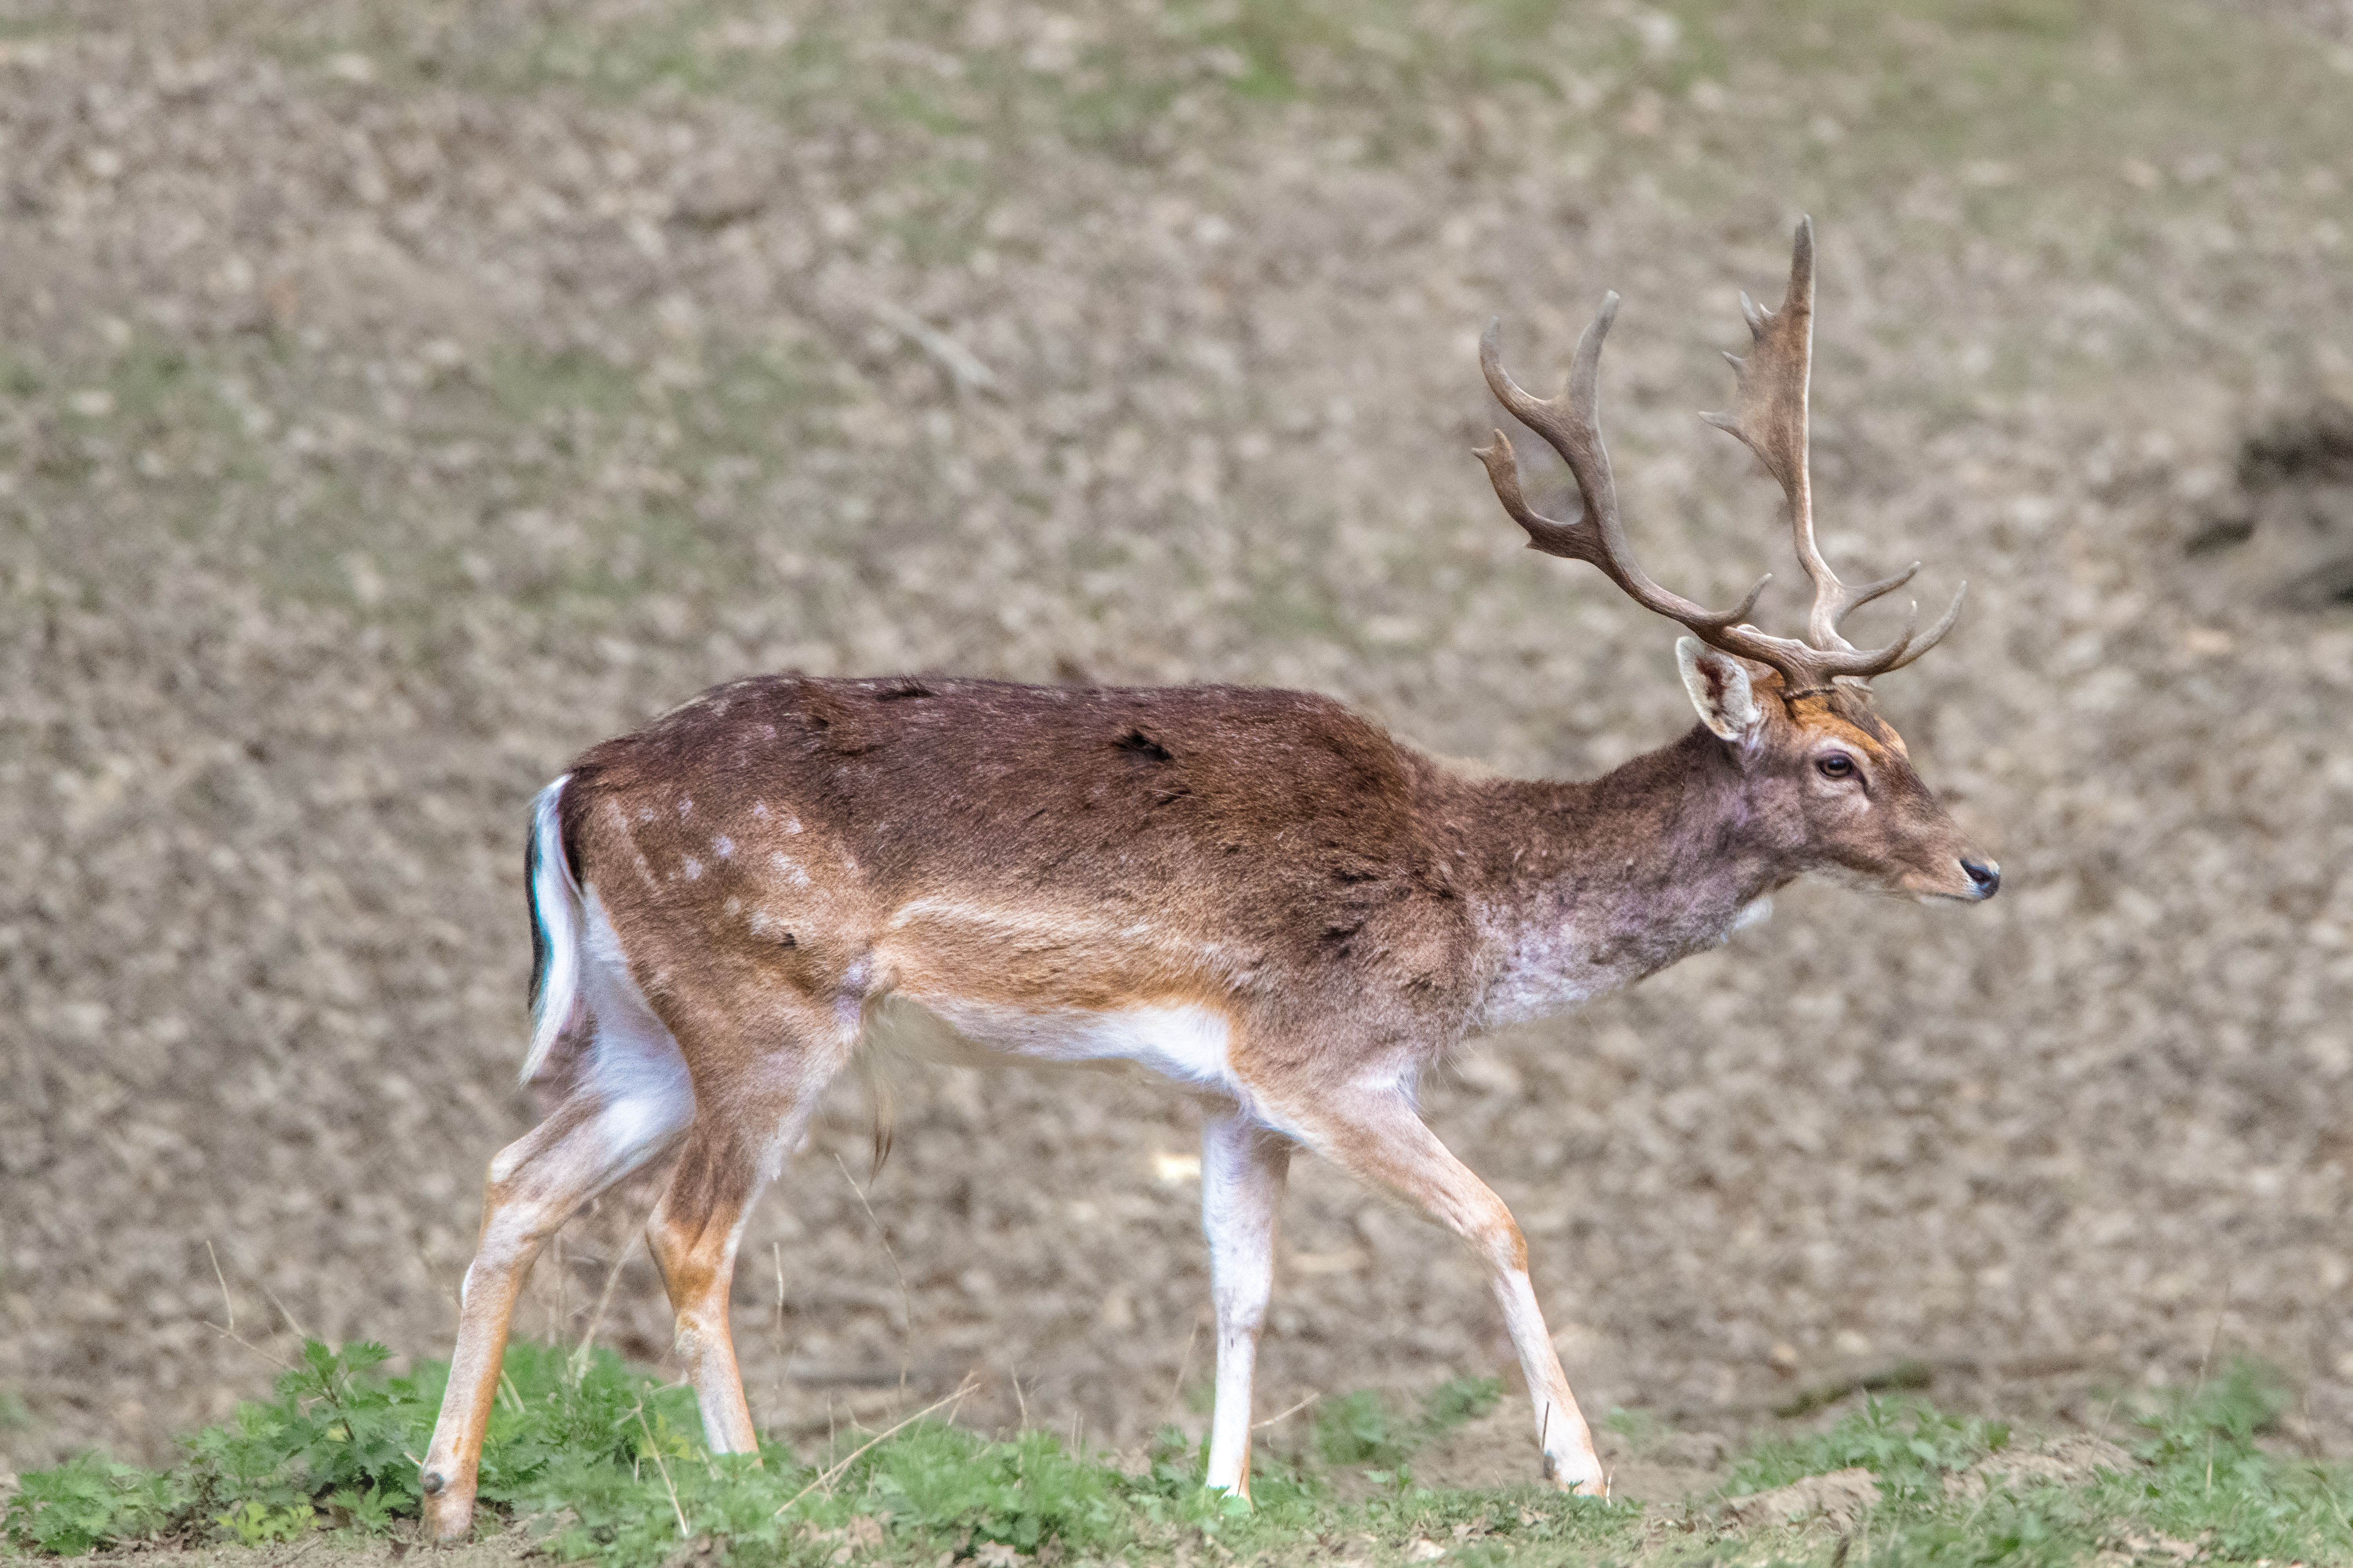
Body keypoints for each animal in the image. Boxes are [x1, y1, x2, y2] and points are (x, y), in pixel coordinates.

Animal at [417, 218, 1998, 1537]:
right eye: (1836, 763)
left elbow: (1242, 1286)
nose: (1979, 865)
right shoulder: (1331, 1054)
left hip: (645, 1024)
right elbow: (1496, 1217)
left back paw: (447, 1489)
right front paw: (1581, 1470)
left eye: (1902, 737)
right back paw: (752, 1483)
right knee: (686, 1235)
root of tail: (576, 788)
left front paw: (1224, 1491)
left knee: (516, 1178)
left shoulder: (1235, 1094)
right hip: (766, 997)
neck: (1478, 907)